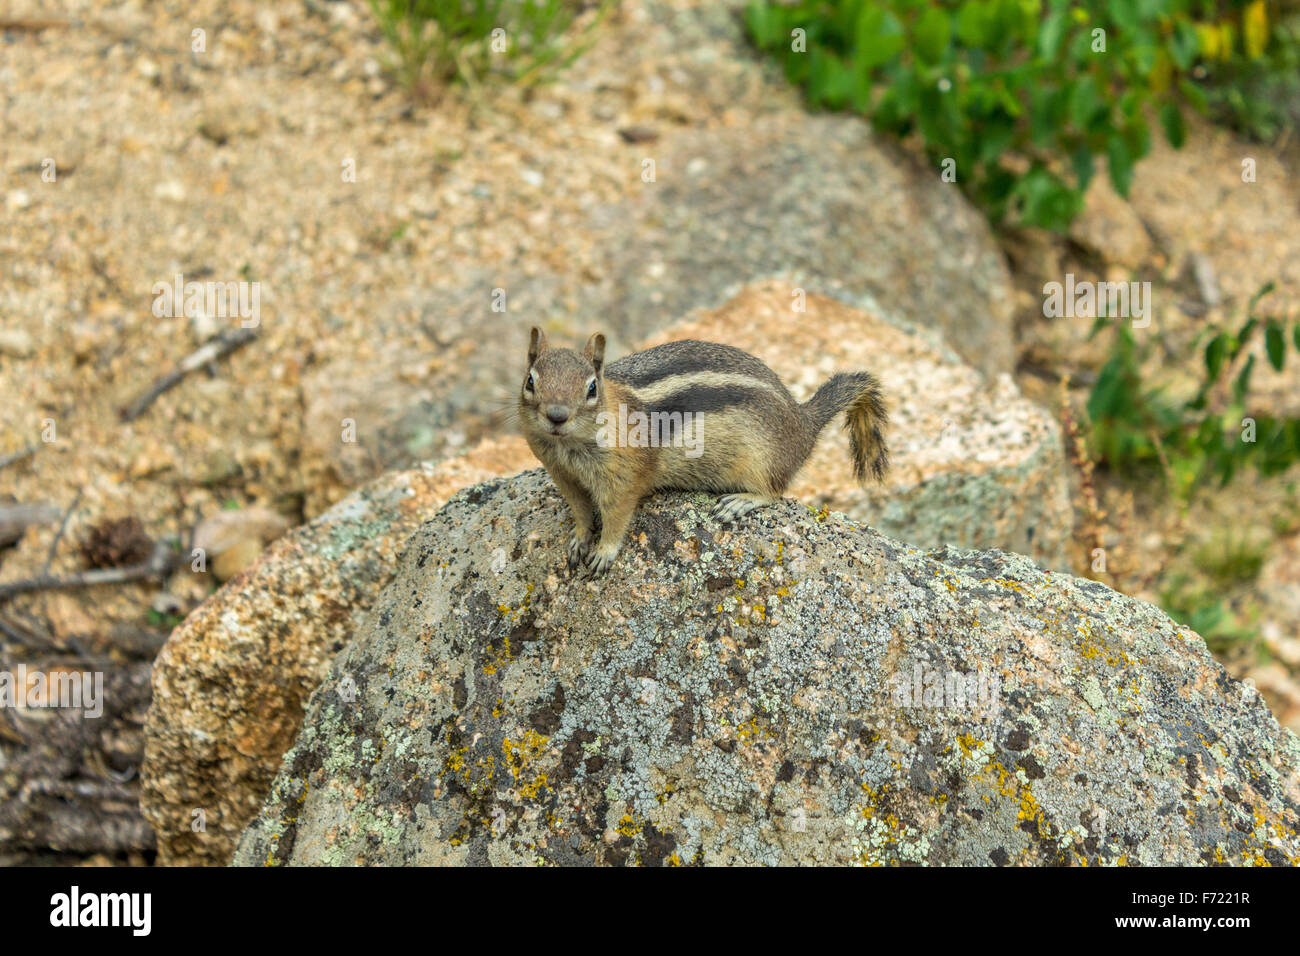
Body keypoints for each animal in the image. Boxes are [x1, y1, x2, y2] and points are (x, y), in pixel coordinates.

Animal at [519, 327, 889, 574]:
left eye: (592, 388)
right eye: (530, 381)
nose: (556, 415)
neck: (567, 449)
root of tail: (804, 422)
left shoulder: (623, 480)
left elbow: (616, 517)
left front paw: (603, 552)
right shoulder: (563, 476)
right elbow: (581, 511)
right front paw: (579, 540)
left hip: (760, 460)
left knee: (774, 491)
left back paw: (741, 501)